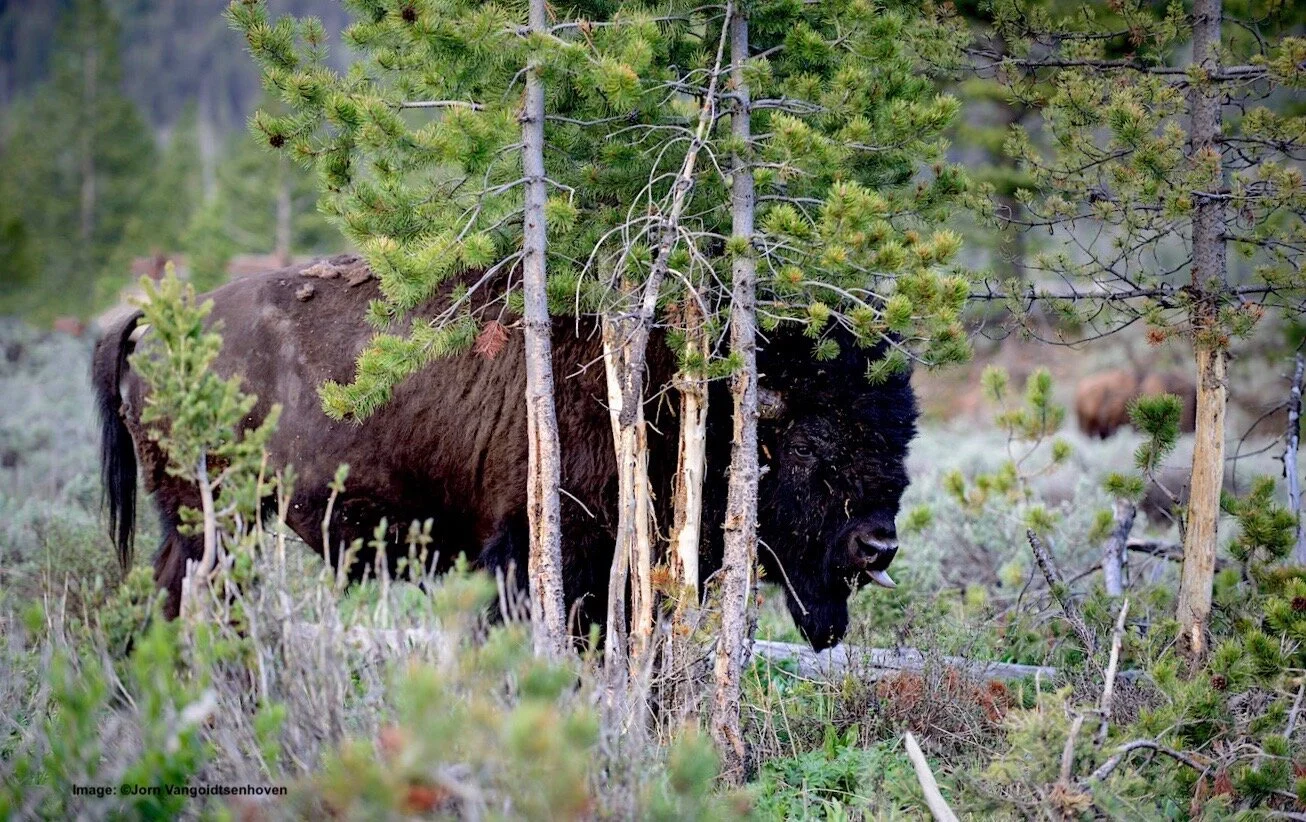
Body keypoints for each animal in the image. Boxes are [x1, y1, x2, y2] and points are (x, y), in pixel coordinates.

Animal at [95, 255, 918, 650]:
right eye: (816, 443)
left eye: (902, 435)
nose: (878, 545)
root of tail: (155, 322)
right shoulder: (538, 555)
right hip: (215, 519)